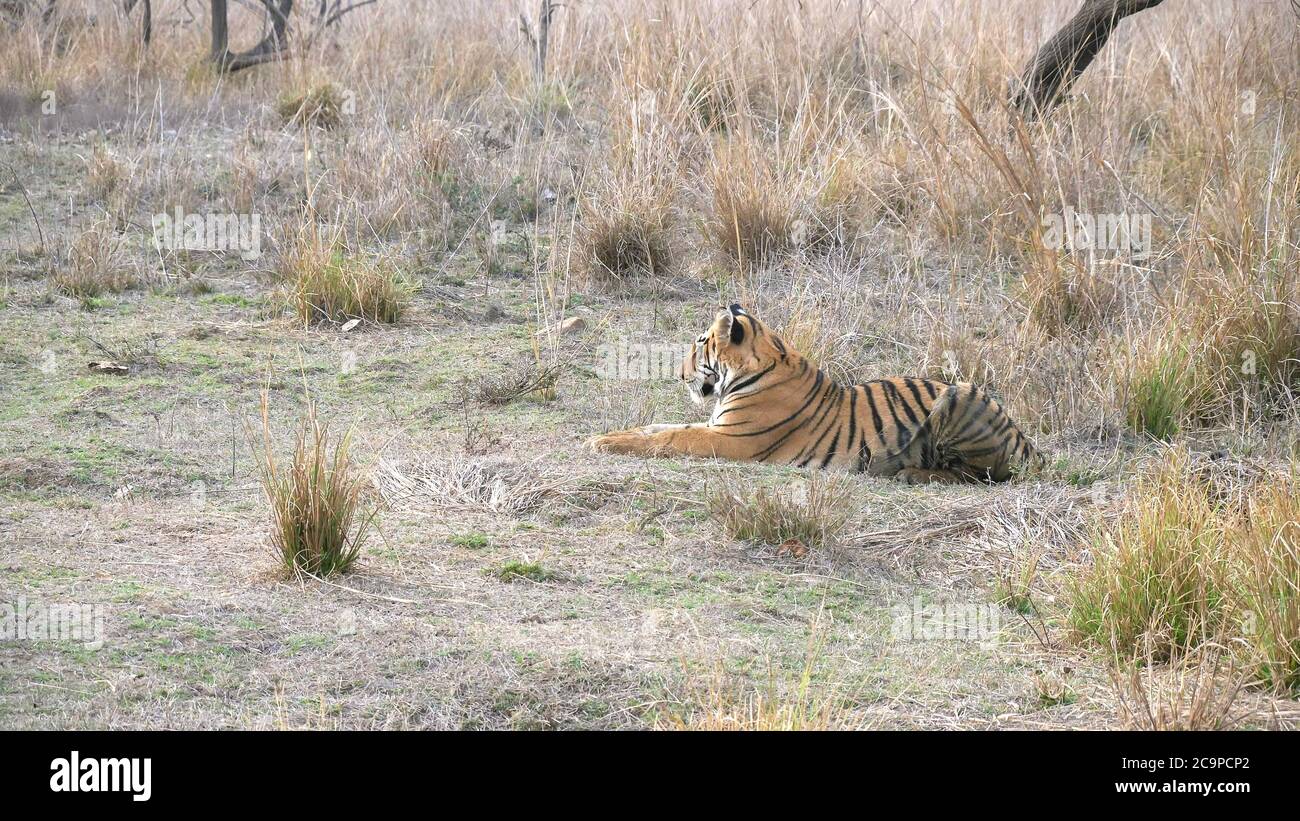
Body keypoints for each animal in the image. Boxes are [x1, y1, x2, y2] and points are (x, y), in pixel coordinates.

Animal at [588, 304, 1044, 484]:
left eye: (700, 343)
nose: (680, 374)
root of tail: (1027, 439)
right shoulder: (714, 425)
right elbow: (656, 427)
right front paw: (603, 437)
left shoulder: (731, 439)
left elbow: (670, 437)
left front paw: (602, 443)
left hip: (959, 396)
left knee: (981, 475)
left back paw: (913, 474)